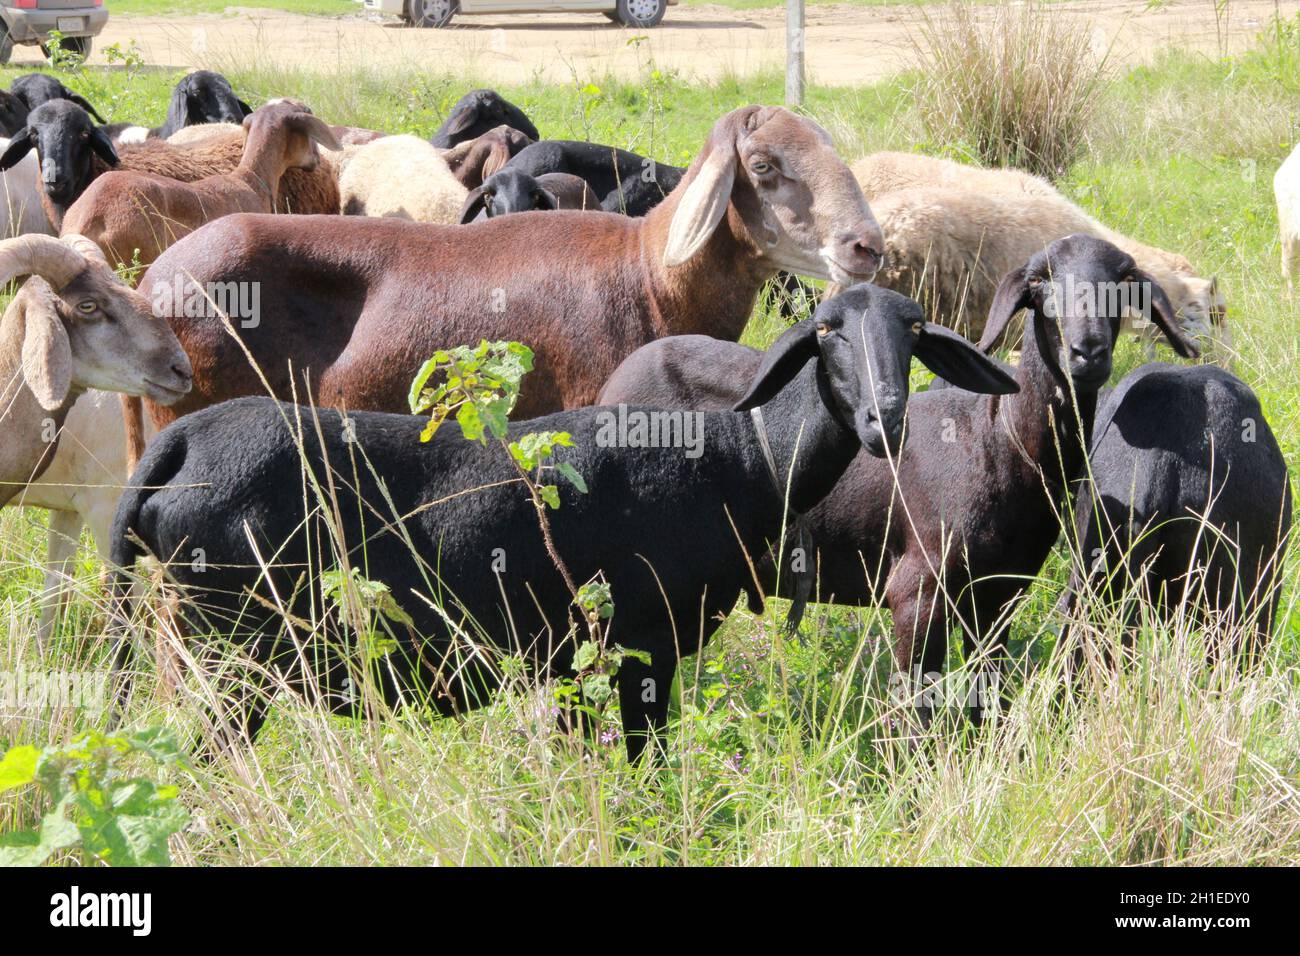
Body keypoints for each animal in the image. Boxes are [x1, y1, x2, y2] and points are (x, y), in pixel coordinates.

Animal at [108, 283, 1015, 759]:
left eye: (914, 333)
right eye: (828, 333)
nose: (883, 421)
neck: (748, 456)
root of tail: (178, 447)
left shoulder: (584, 657)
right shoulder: (642, 643)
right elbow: (644, 765)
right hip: (234, 647)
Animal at [599, 235, 1200, 726]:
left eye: (1123, 279)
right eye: (1040, 280)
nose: (1087, 353)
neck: (996, 441)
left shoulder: (998, 597)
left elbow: (988, 700)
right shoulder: (917, 591)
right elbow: (915, 714)